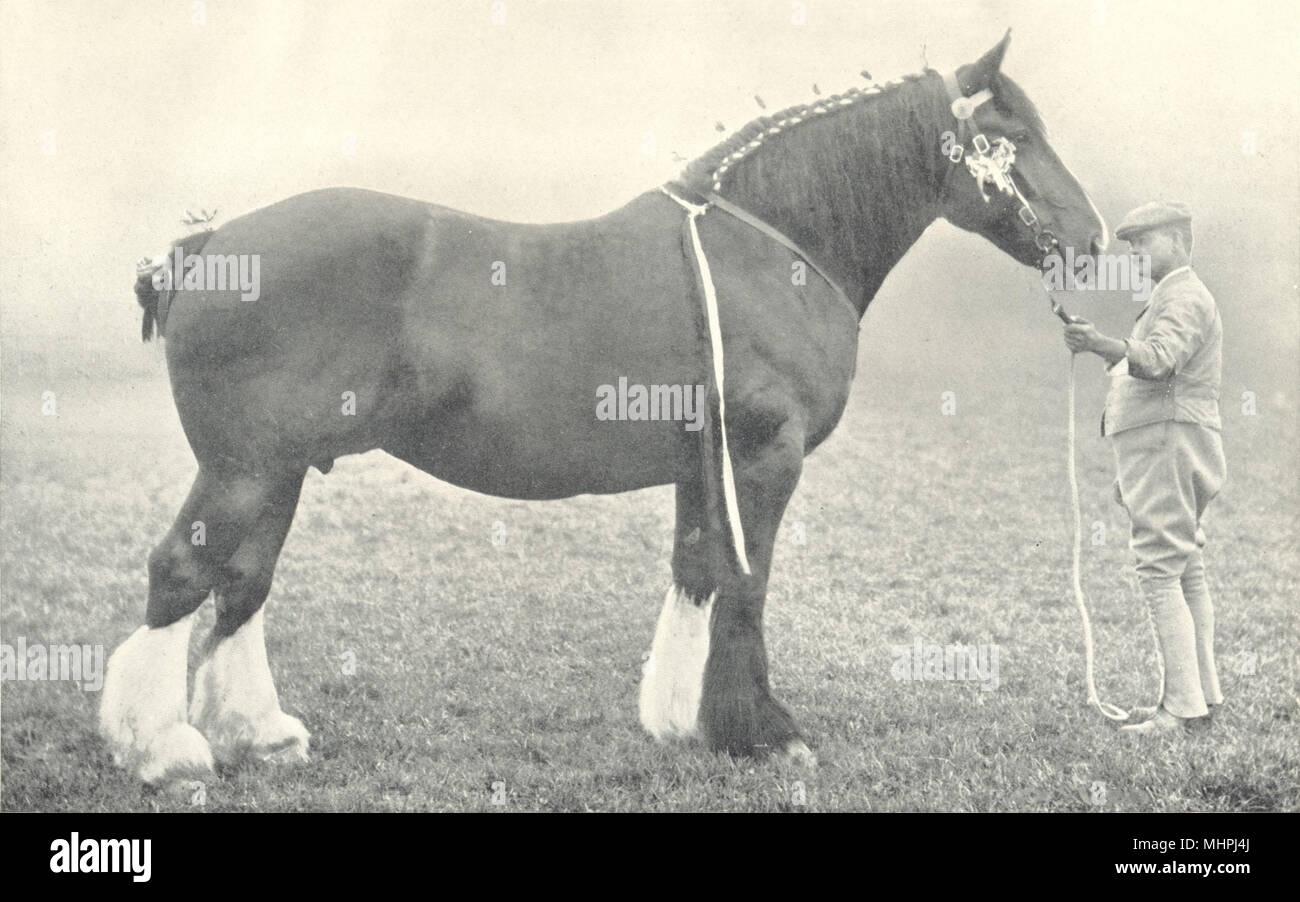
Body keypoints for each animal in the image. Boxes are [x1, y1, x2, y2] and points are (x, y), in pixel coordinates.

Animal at [100, 31, 1107, 784]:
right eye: (1013, 135)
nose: (1092, 238)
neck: (767, 249)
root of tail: (209, 245)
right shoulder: (764, 457)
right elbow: (747, 584)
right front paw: (766, 732)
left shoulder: (707, 464)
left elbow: (698, 570)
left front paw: (683, 723)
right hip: (242, 470)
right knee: (181, 574)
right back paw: (163, 752)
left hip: (278, 472)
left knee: (242, 582)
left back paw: (257, 735)